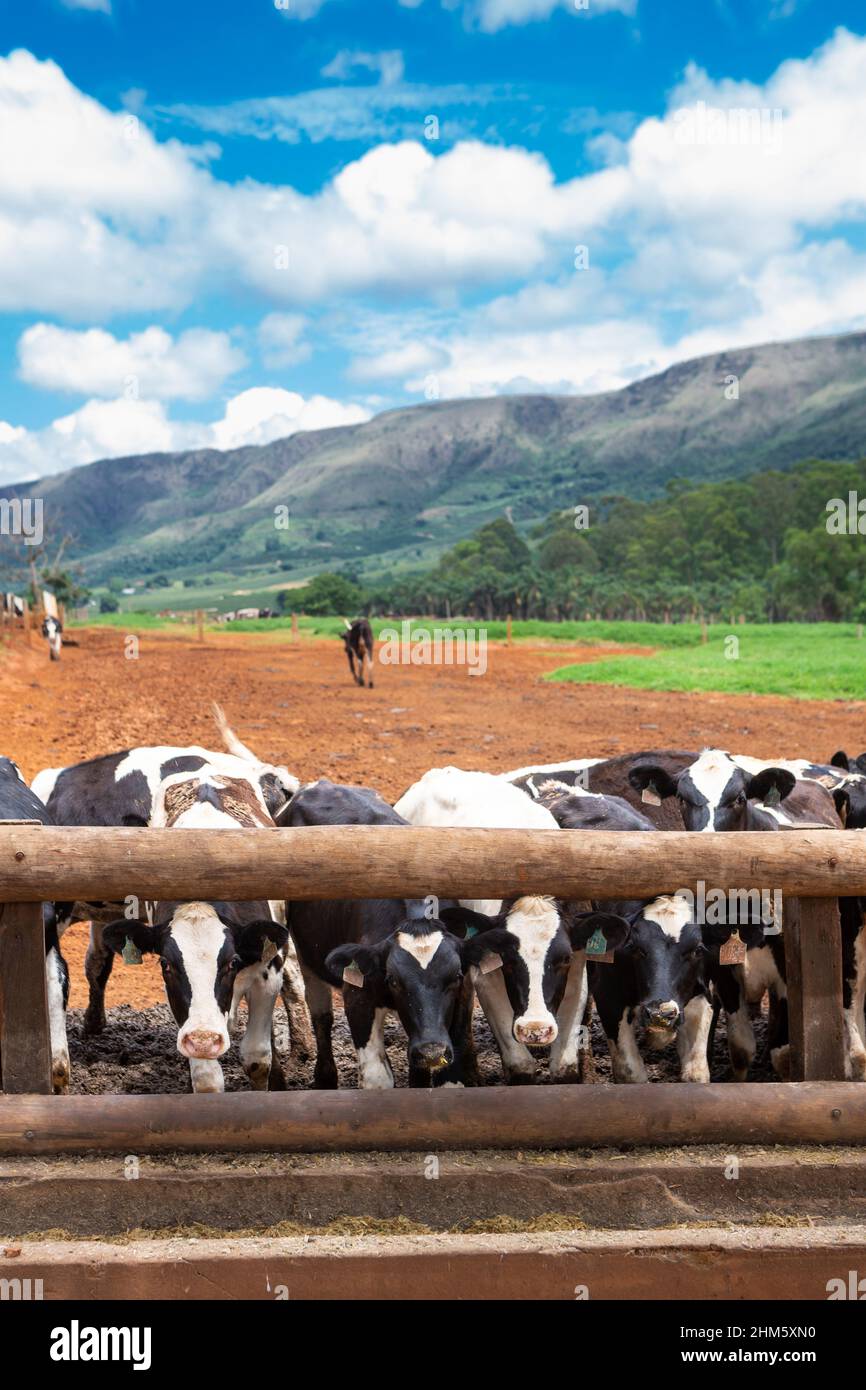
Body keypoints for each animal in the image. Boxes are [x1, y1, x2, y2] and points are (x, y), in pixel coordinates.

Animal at [103, 767, 292, 1093]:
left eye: (231, 962)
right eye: (165, 964)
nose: (204, 1039)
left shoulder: (268, 974)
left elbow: (257, 1057)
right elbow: (206, 1080)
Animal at [280, 779, 483, 1088]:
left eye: (456, 977)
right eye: (393, 980)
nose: (432, 1052)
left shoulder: (461, 1001)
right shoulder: (358, 997)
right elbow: (378, 1079)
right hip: (308, 959)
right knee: (321, 1017)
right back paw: (325, 1078)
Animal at [394, 766, 628, 1083]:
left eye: (563, 959)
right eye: (508, 960)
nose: (535, 1030)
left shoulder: (578, 970)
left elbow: (564, 1066)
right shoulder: (487, 972)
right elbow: (520, 1065)